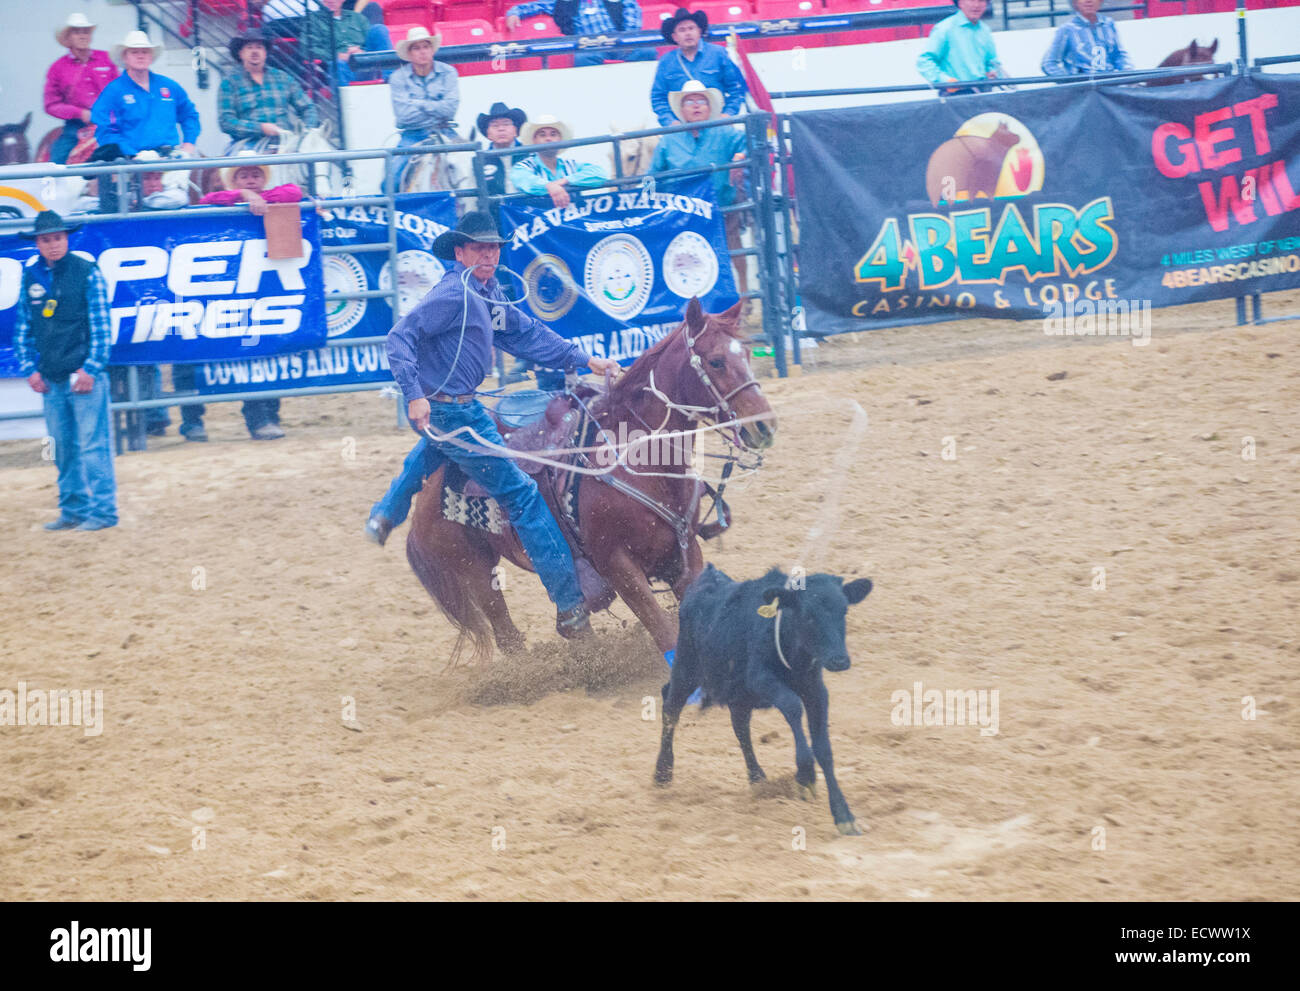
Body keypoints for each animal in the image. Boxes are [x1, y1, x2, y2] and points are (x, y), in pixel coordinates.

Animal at [654, 564, 874, 835]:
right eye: (808, 615)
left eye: (844, 610)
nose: (839, 660)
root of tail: (706, 578)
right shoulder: (760, 679)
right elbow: (792, 706)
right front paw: (806, 775)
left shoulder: (816, 691)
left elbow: (823, 748)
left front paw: (843, 815)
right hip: (686, 667)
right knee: (670, 706)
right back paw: (663, 771)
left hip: (738, 695)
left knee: (740, 727)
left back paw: (757, 777)